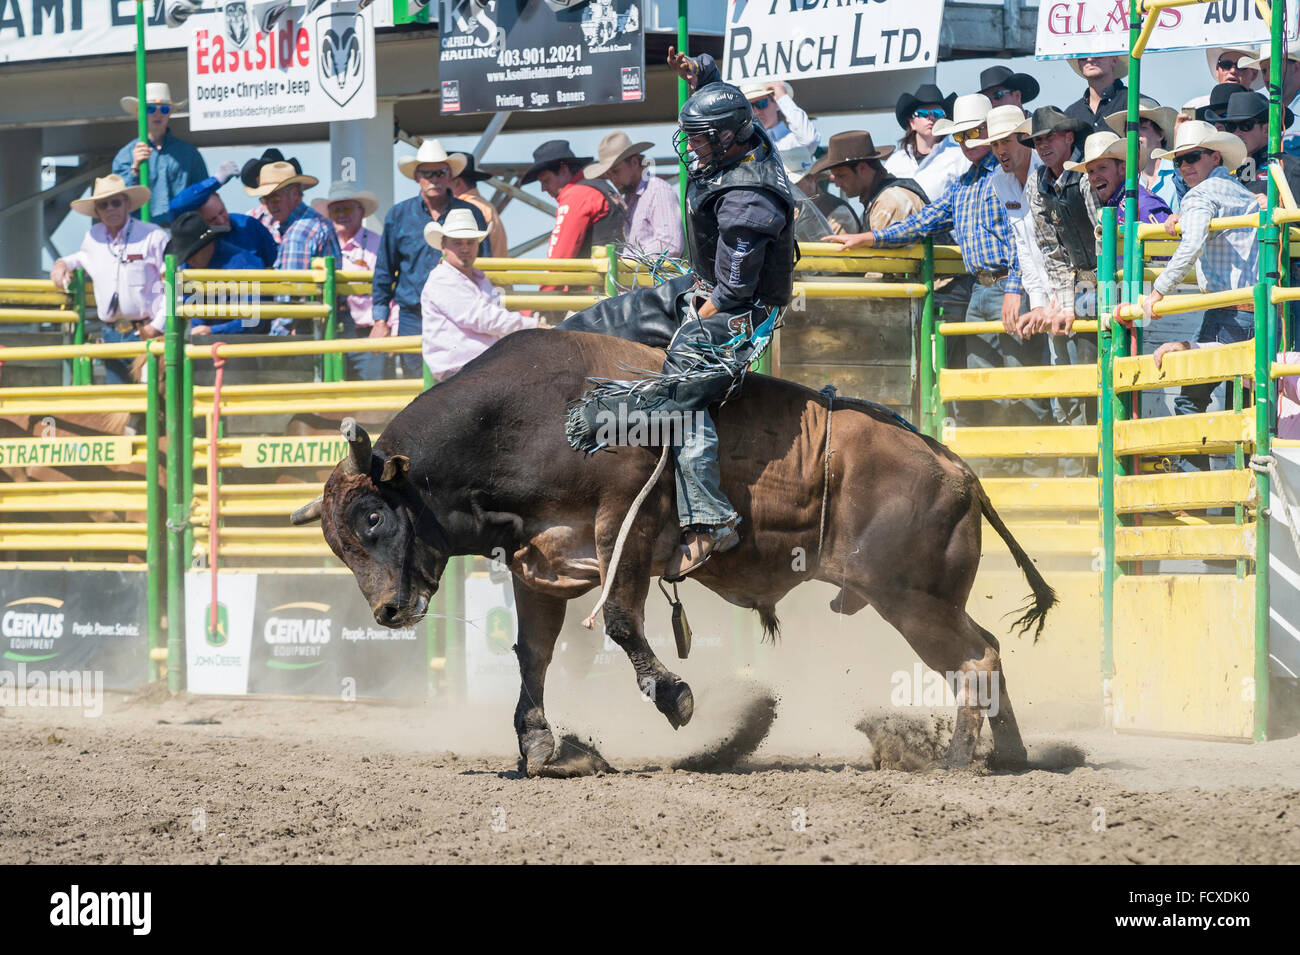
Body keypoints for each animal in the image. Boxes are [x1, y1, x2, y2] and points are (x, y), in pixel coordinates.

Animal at [291, 328, 1056, 775]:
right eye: (337, 540)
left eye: (371, 515)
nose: (388, 612)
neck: (531, 421)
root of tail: (958, 467)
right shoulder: (538, 561)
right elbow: (532, 655)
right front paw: (539, 744)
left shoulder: (625, 526)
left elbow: (623, 621)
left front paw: (676, 697)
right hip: (928, 598)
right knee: (987, 652)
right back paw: (1011, 755)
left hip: (912, 598)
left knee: (974, 658)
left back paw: (957, 759)